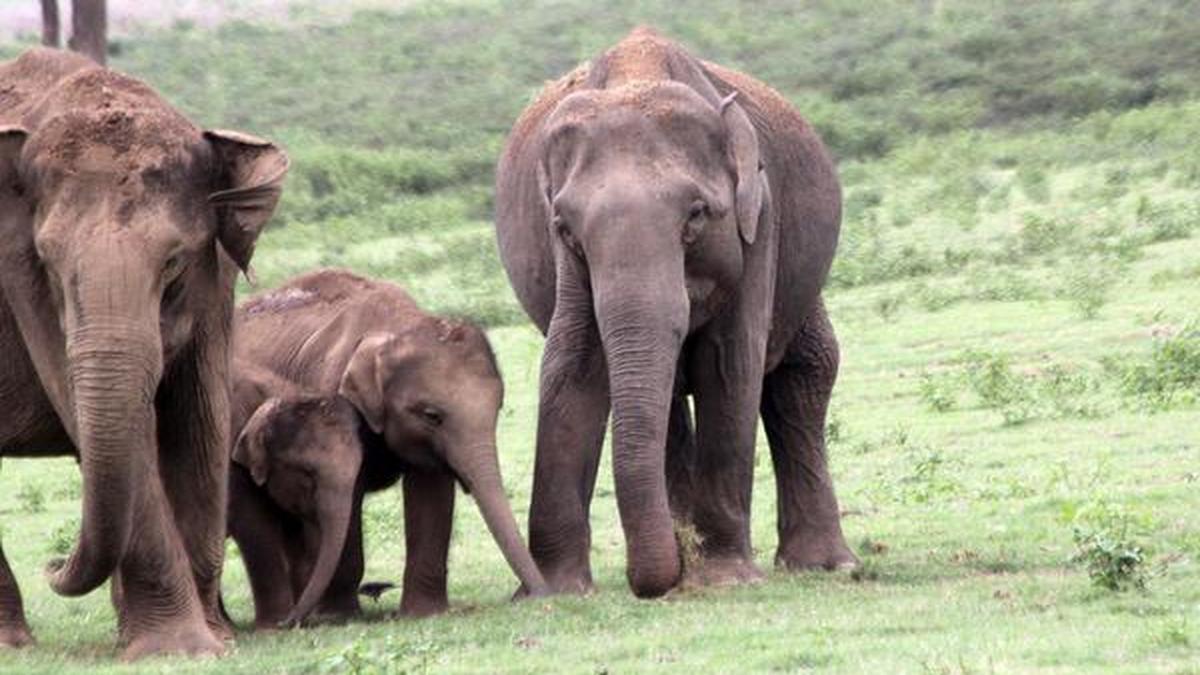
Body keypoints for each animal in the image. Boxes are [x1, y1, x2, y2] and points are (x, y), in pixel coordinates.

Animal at [0, 48, 287, 658]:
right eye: (49, 262)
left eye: (174, 263)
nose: (53, 564)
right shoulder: (19, 282)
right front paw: (178, 648)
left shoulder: (214, 282)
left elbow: (198, 421)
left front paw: (216, 639)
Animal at [234, 268, 549, 618]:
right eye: (432, 415)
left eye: (499, 407)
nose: (541, 597)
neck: (395, 327)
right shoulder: (330, 390)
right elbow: (350, 499)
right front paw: (340, 617)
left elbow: (430, 491)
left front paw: (424, 613)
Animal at [494, 26, 857, 598]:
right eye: (566, 228)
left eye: (696, 216)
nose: (648, 584)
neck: (636, 76)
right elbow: (572, 363)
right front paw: (553, 592)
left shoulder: (759, 221)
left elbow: (728, 365)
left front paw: (726, 578)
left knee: (805, 373)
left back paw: (824, 566)